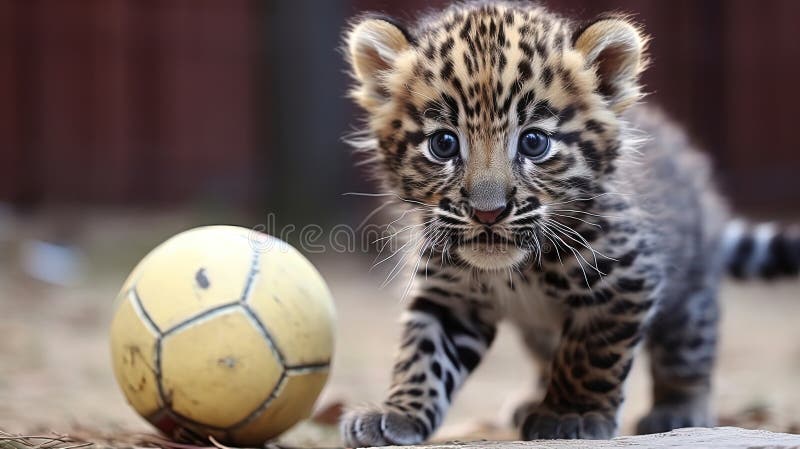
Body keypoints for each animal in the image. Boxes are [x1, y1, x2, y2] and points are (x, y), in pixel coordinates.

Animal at [339, 1, 800, 445]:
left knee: (689, 348)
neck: (517, 270)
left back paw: (678, 408)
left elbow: (589, 355)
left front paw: (570, 415)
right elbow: (424, 357)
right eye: (444, 144)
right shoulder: (448, 296)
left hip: (690, 289)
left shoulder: (623, 283)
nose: (488, 212)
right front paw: (398, 413)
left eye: (533, 142)